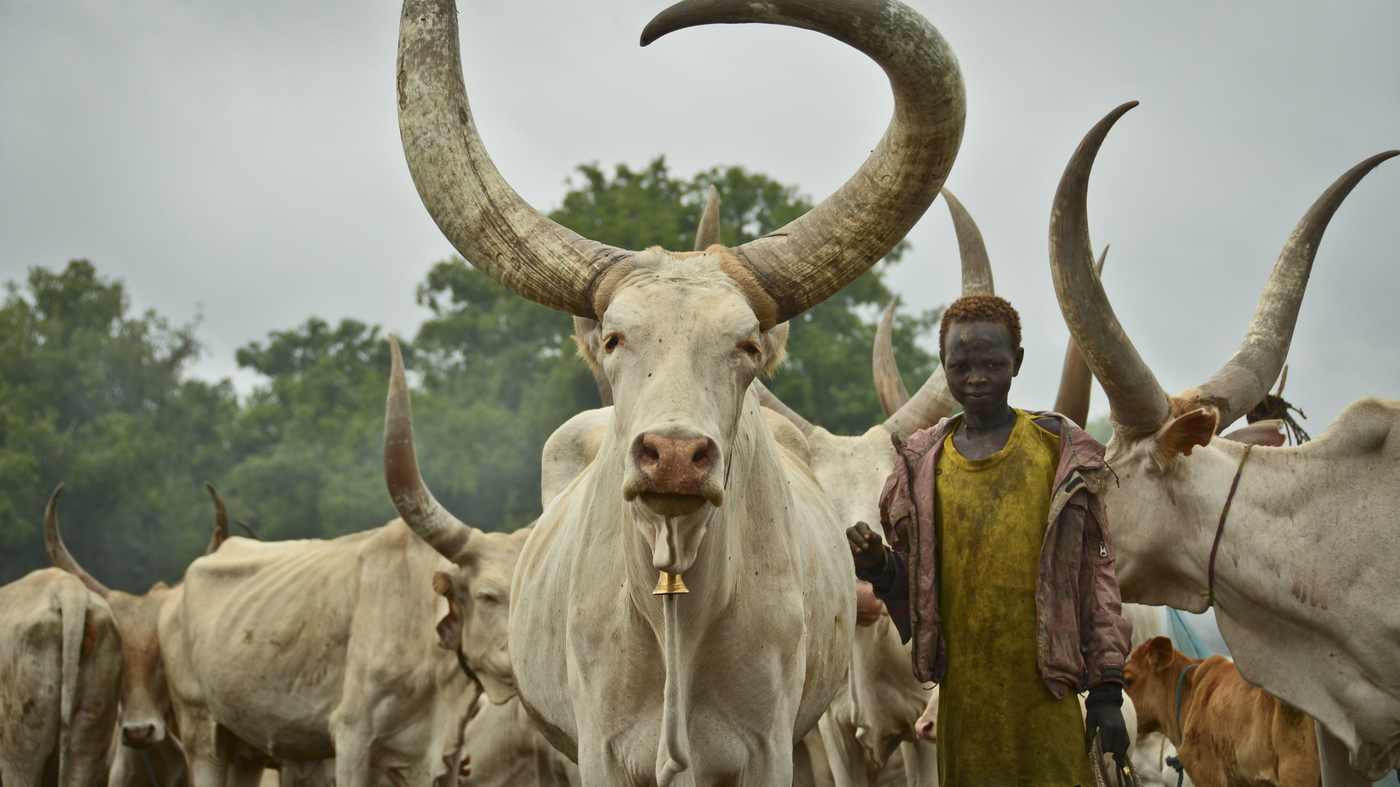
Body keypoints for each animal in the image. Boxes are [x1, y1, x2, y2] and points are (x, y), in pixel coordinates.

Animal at [392, 0, 964, 781]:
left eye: (748, 344)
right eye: (613, 337)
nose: (672, 456)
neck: (677, 609)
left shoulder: (772, 747)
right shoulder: (599, 749)